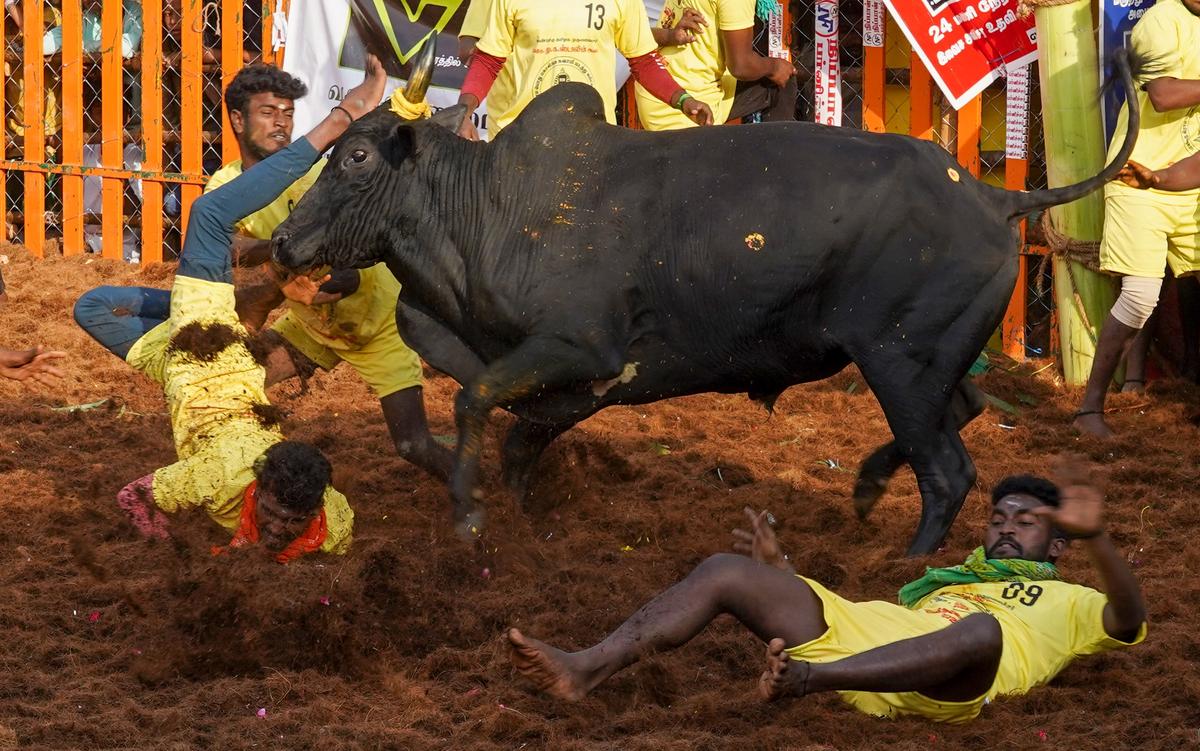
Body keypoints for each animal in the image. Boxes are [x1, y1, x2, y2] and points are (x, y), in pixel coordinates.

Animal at [273, 51, 1137, 555]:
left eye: (355, 155)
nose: (282, 239)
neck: (488, 210)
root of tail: (995, 197)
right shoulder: (580, 381)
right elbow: (519, 437)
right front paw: (514, 513)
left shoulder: (579, 349)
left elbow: (477, 399)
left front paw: (469, 513)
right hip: (925, 361)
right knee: (967, 409)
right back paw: (865, 485)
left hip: (899, 362)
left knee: (949, 471)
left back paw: (906, 568)